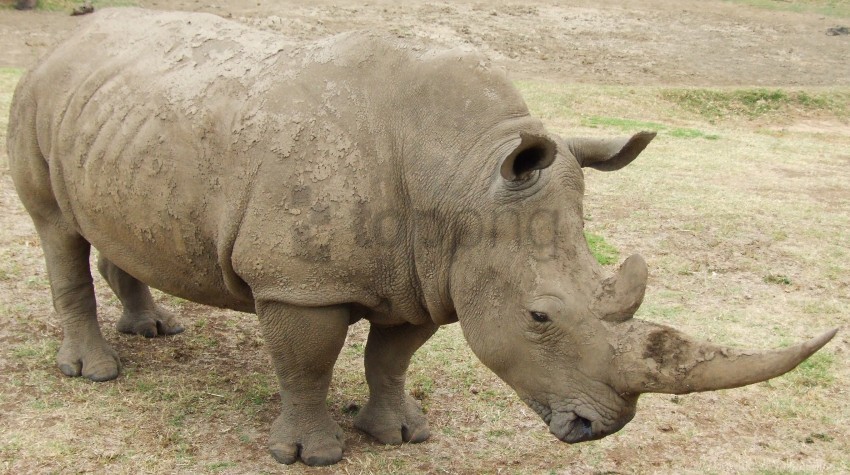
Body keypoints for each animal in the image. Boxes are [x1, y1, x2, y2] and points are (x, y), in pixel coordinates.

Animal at [7, 8, 836, 466]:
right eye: (540, 315)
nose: (596, 427)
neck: (464, 176)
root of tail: (67, 40)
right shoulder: (298, 280)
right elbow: (307, 364)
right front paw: (310, 454)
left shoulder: (425, 271)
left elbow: (391, 356)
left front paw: (401, 435)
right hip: (37, 94)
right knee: (56, 229)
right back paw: (96, 372)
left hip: (120, 114)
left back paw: (155, 328)